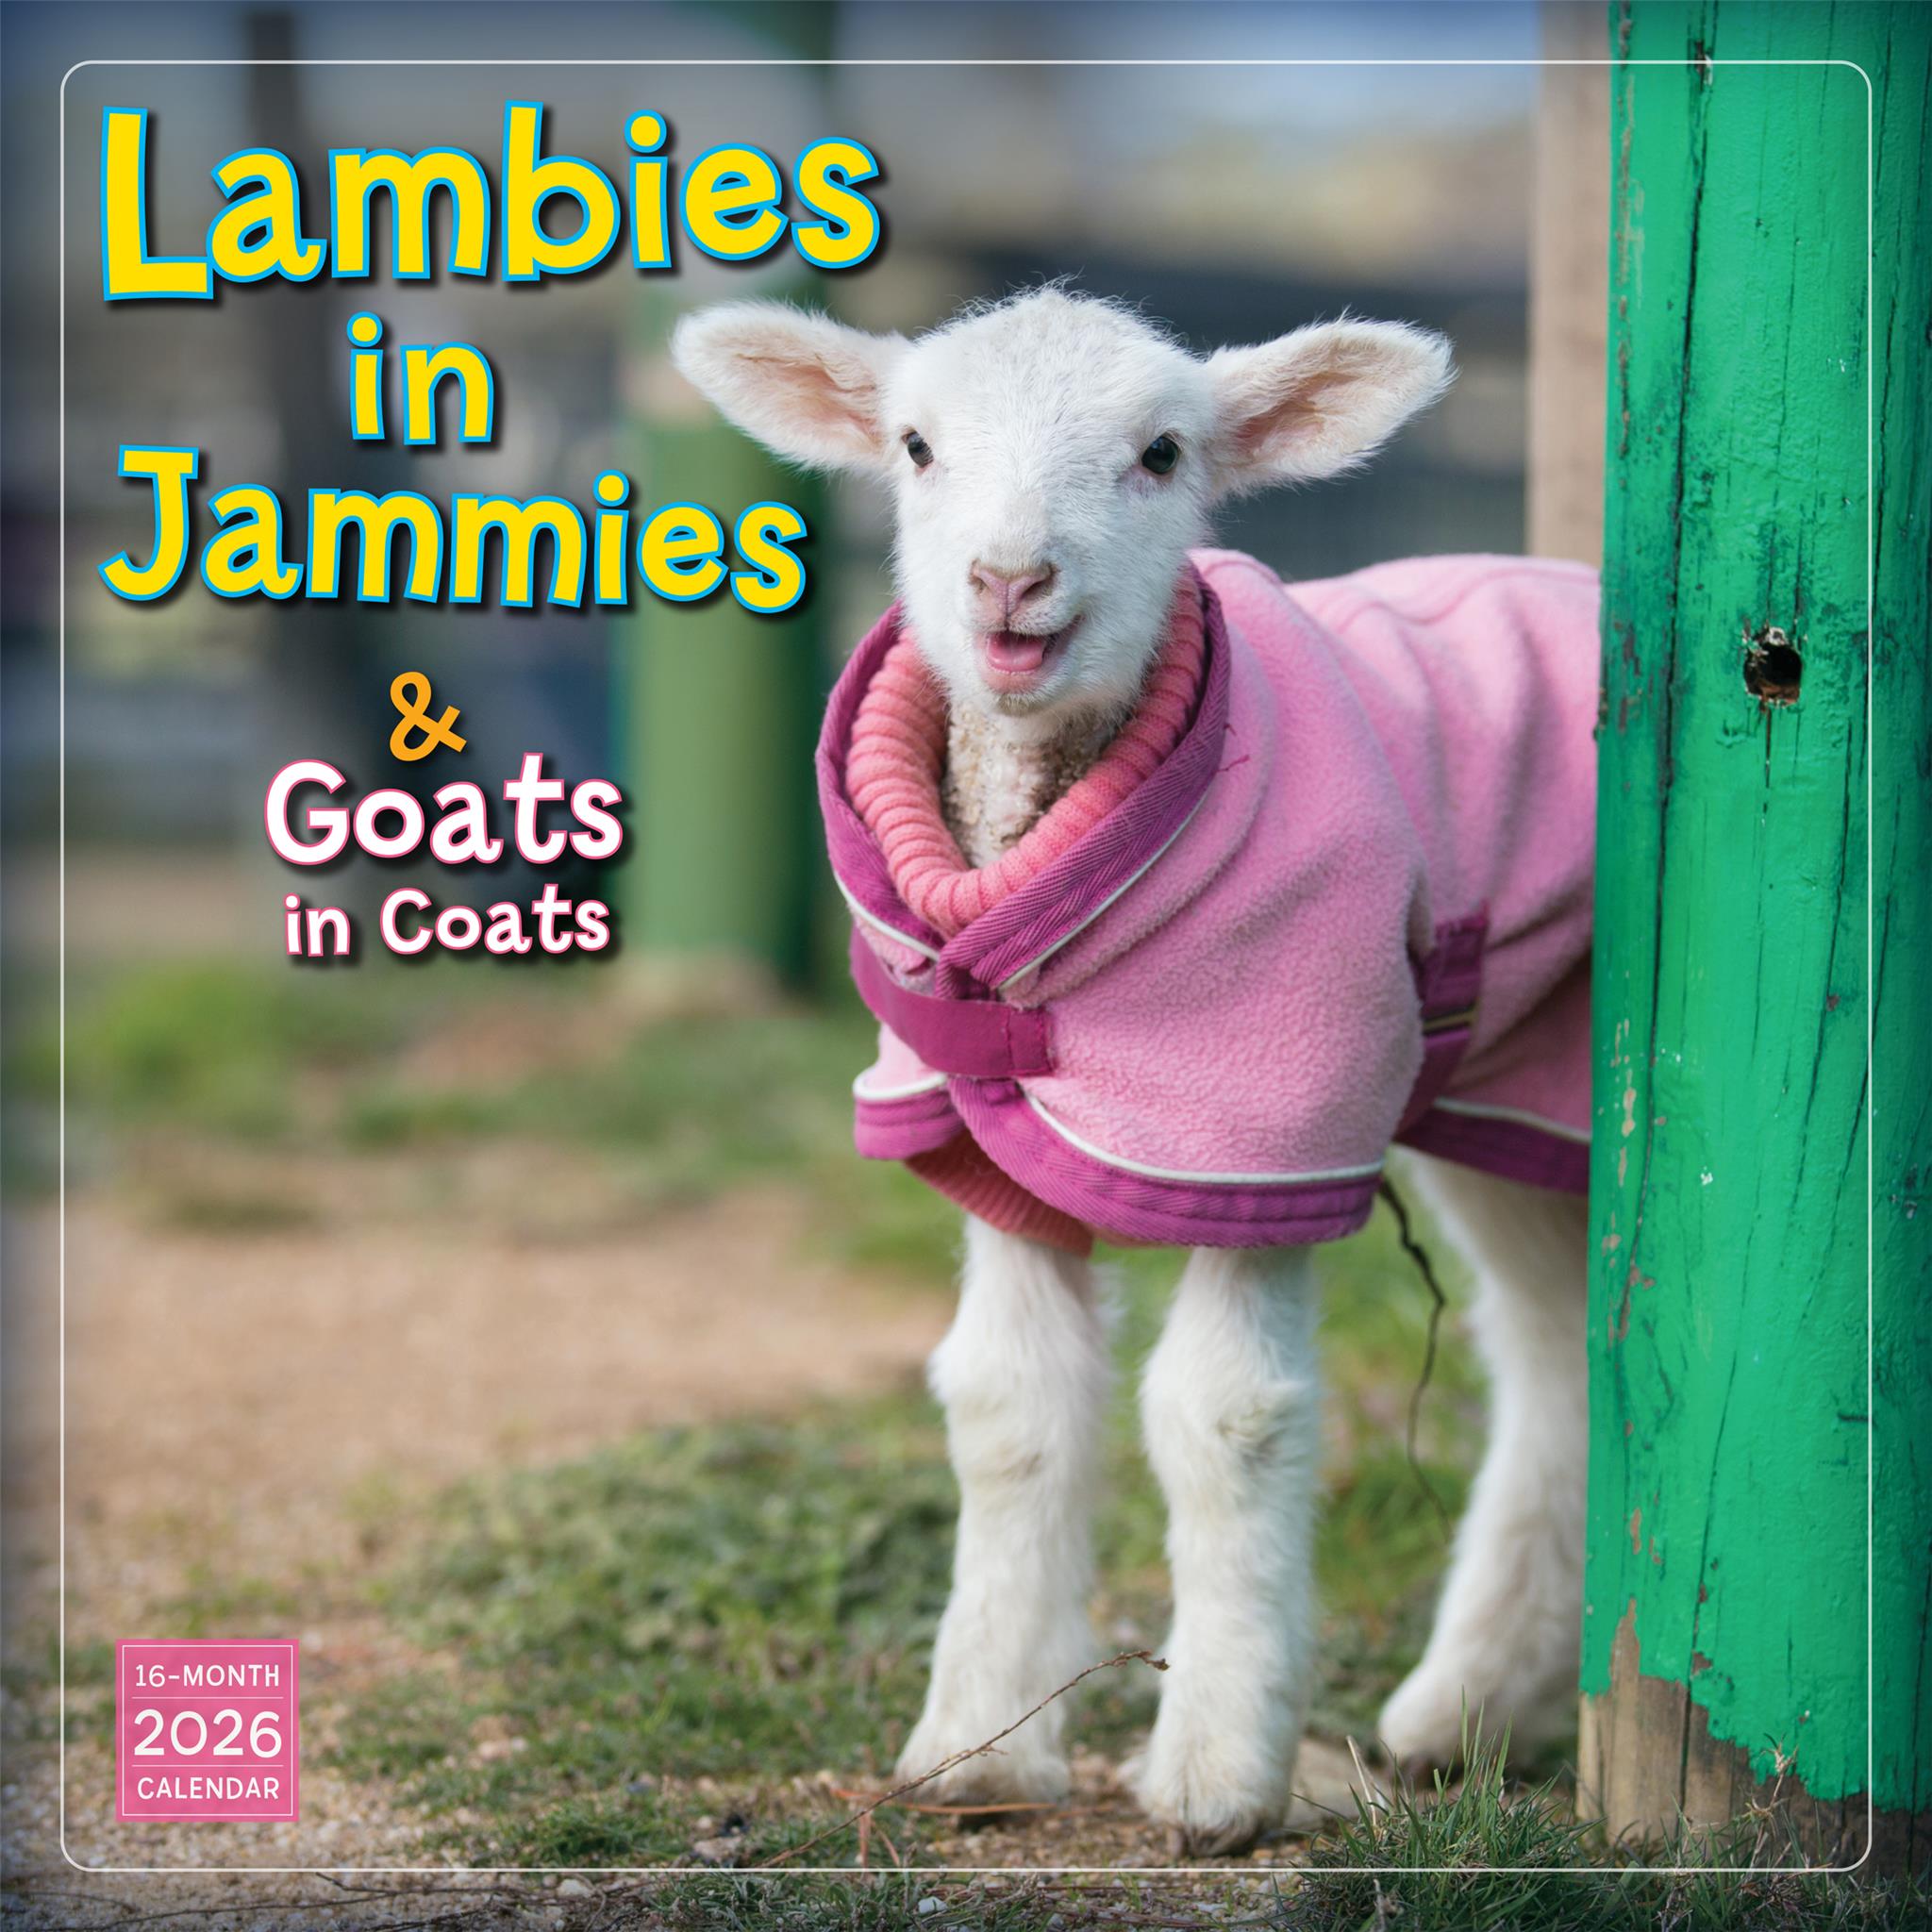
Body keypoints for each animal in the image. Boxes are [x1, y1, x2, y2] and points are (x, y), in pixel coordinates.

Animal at [672, 288, 1596, 1856]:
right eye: (915, 446)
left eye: (1162, 454)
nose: (1009, 581)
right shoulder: (981, 1133)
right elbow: (1007, 1407)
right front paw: (975, 1749)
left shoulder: (1268, 1131)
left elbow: (1225, 1420)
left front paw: (1219, 1777)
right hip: (1512, 1093)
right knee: (1555, 1353)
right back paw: (1472, 1709)